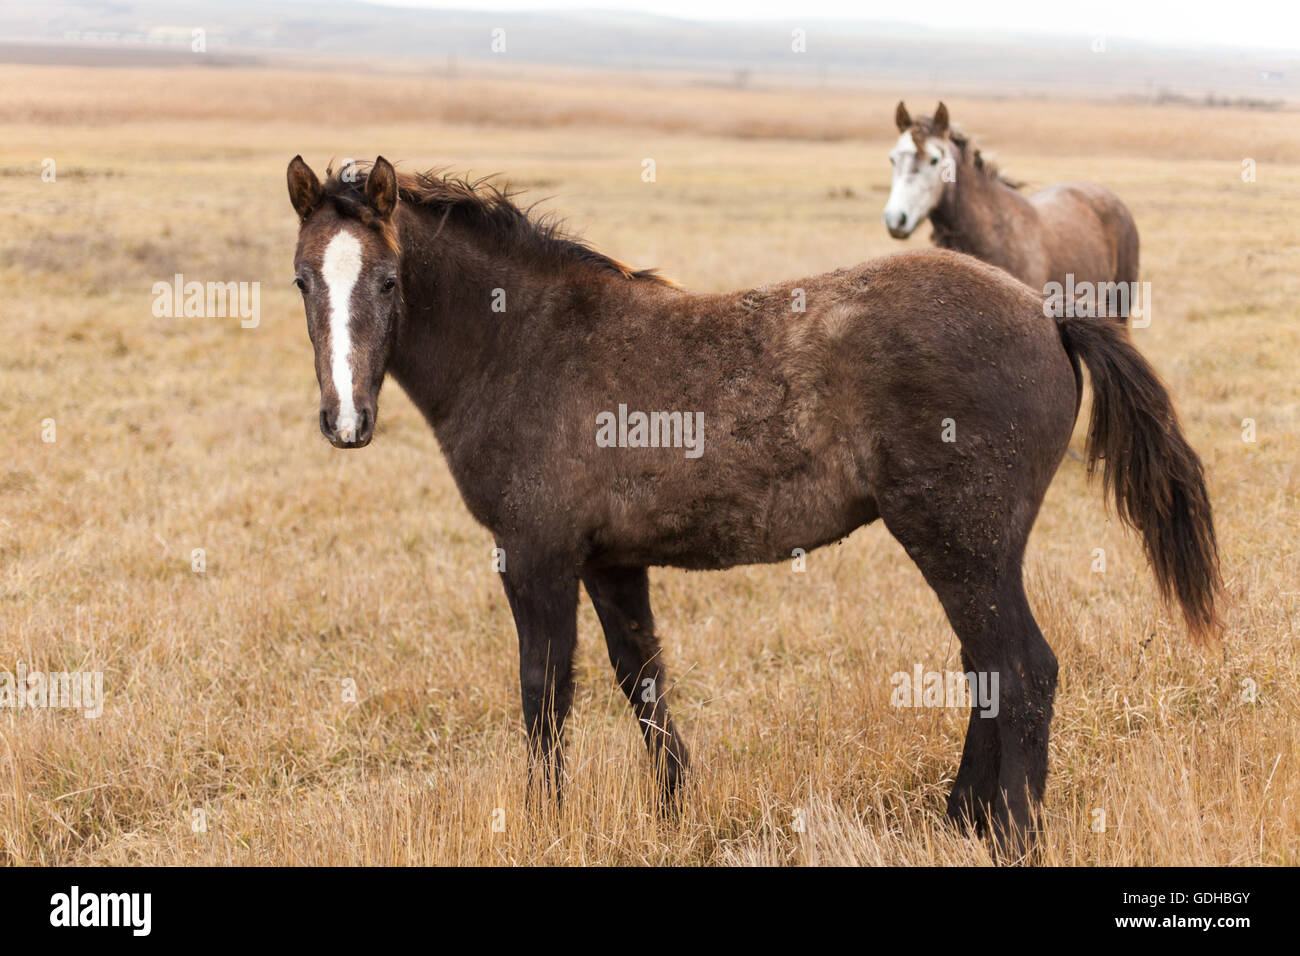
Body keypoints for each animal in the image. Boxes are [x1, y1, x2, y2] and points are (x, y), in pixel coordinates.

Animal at [285, 155, 1220, 857]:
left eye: (389, 280)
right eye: (300, 281)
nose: (345, 422)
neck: (527, 345)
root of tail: (1048, 314)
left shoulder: (536, 557)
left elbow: (543, 695)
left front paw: (547, 825)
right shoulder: (613, 561)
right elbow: (642, 680)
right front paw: (673, 812)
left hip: (961, 545)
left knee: (1022, 668)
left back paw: (1012, 835)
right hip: (975, 552)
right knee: (985, 664)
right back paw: (962, 817)